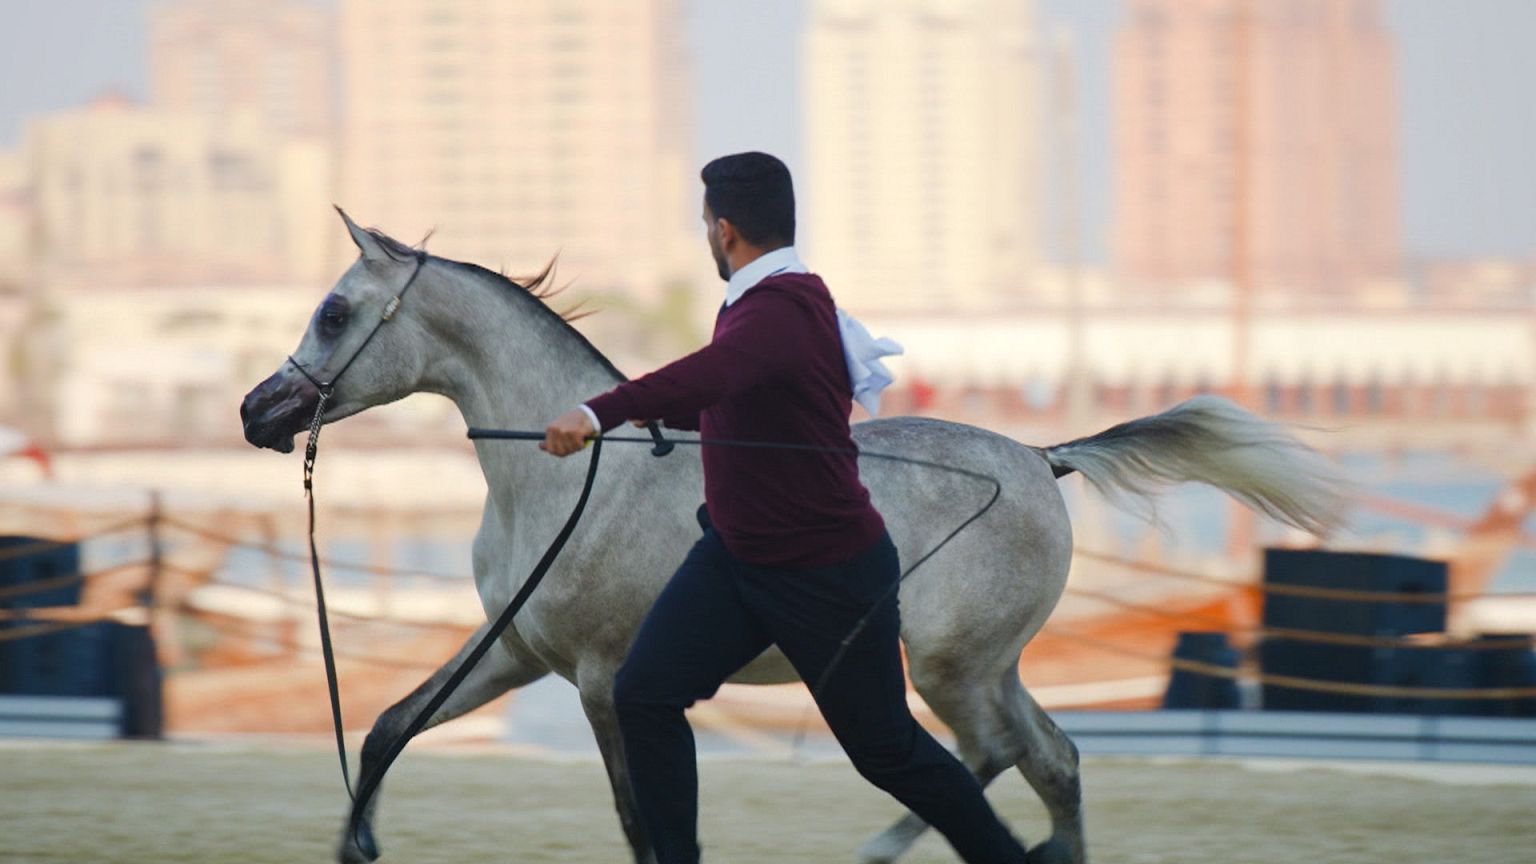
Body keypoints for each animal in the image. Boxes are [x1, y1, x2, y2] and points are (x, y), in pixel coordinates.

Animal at [240, 211, 1346, 864]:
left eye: (333, 311)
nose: (257, 413)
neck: (568, 480)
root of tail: (1044, 458)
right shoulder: (515, 650)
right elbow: (389, 726)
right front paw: (357, 844)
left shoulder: (603, 679)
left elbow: (642, 823)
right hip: (991, 666)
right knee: (1054, 759)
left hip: (944, 667)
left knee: (983, 756)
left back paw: (879, 851)